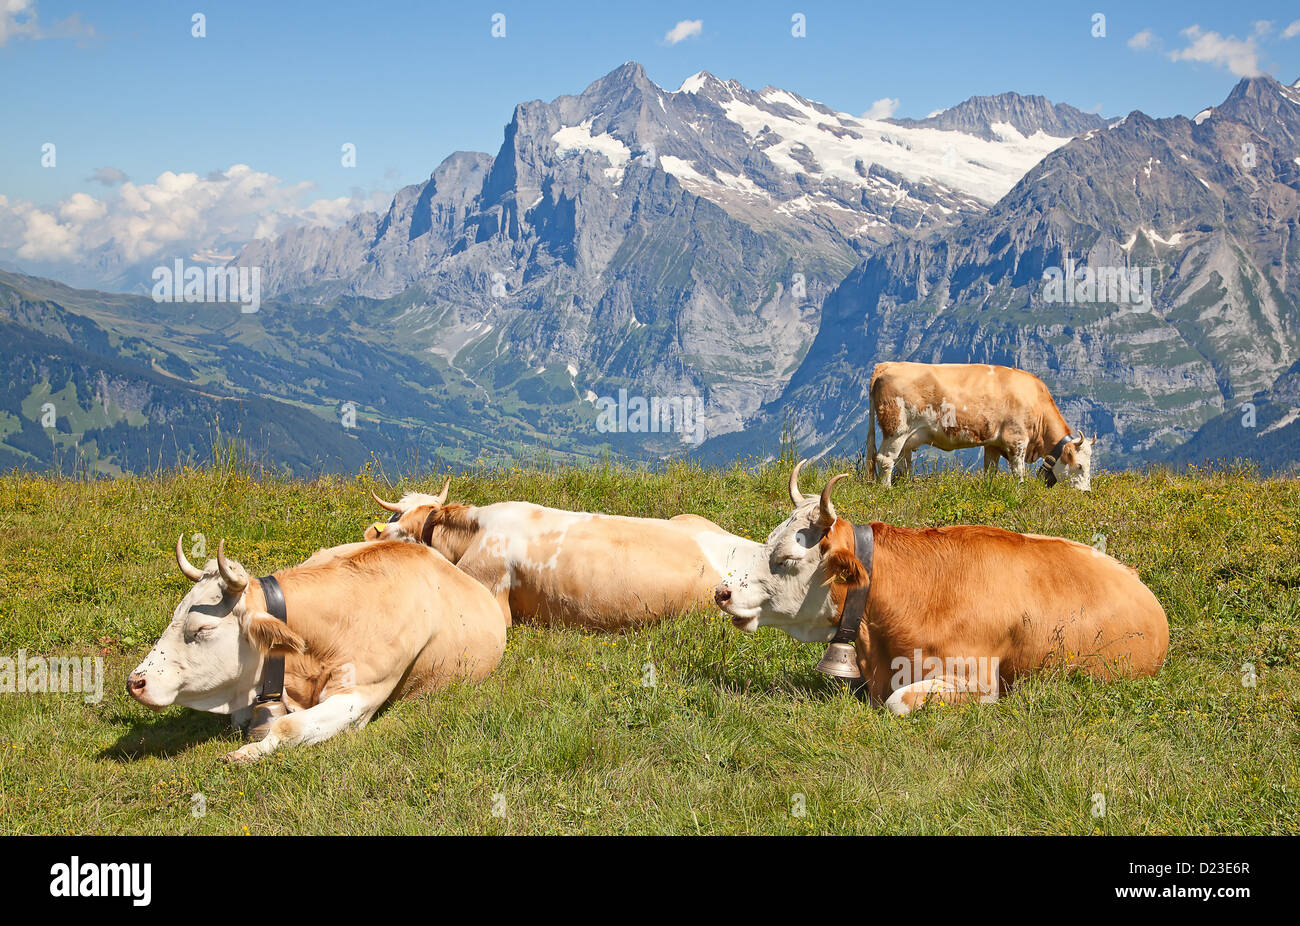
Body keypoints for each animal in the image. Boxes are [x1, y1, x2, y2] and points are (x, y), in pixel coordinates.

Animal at [864, 361, 1097, 489]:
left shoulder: (993, 443)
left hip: (907, 436)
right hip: (896, 429)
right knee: (885, 459)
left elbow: (990, 471)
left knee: (901, 462)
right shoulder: (1017, 440)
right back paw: (887, 490)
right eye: (1080, 465)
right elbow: (1018, 471)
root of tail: (886, 365)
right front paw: (1020, 491)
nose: (1086, 493)